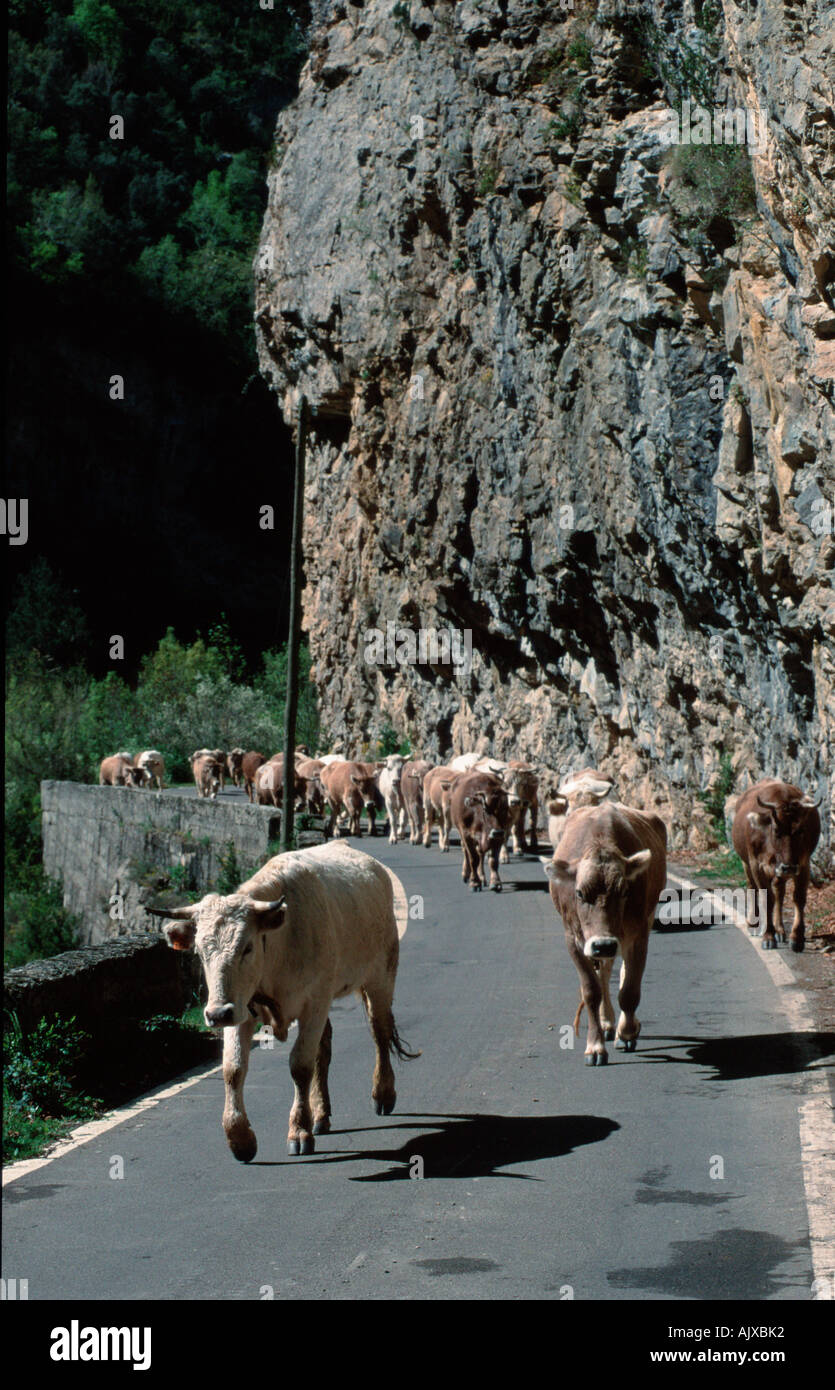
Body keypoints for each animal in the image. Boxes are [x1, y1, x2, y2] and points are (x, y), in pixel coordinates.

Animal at [147, 840, 418, 1161]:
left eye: (247, 947)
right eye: (199, 952)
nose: (216, 1015)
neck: (279, 945)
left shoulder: (314, 1002)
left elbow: (300, 1065)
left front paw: (298, 1130)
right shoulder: (241, 1007)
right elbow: (233, 1068)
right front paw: (239, 1138)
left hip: (380, 977)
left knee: (380, 1033)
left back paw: (383, 1094)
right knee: (325, 1047)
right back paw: (321, 1114)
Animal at [543, 802, 667, 1066]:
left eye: (624, 891)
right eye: (579, 893)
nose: (604, 944)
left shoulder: (638, 935)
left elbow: (629, 990)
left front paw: (627, 1033)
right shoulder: (574, 939)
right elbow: (591, 991)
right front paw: (595, 1046)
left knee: (618, 972)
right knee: (604, 974)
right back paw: (606, 1023)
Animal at [731, 779, 822, 952]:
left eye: (800, 830)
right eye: (777, 830)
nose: (789, 867)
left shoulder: (803, 864)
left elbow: (798, 898)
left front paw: (797, 938)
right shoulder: (756, 865)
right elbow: (767, 899)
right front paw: (768, 937)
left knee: (779, 892)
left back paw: (780, 930)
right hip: (746, 863)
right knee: (752, 887)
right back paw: (754, 924)